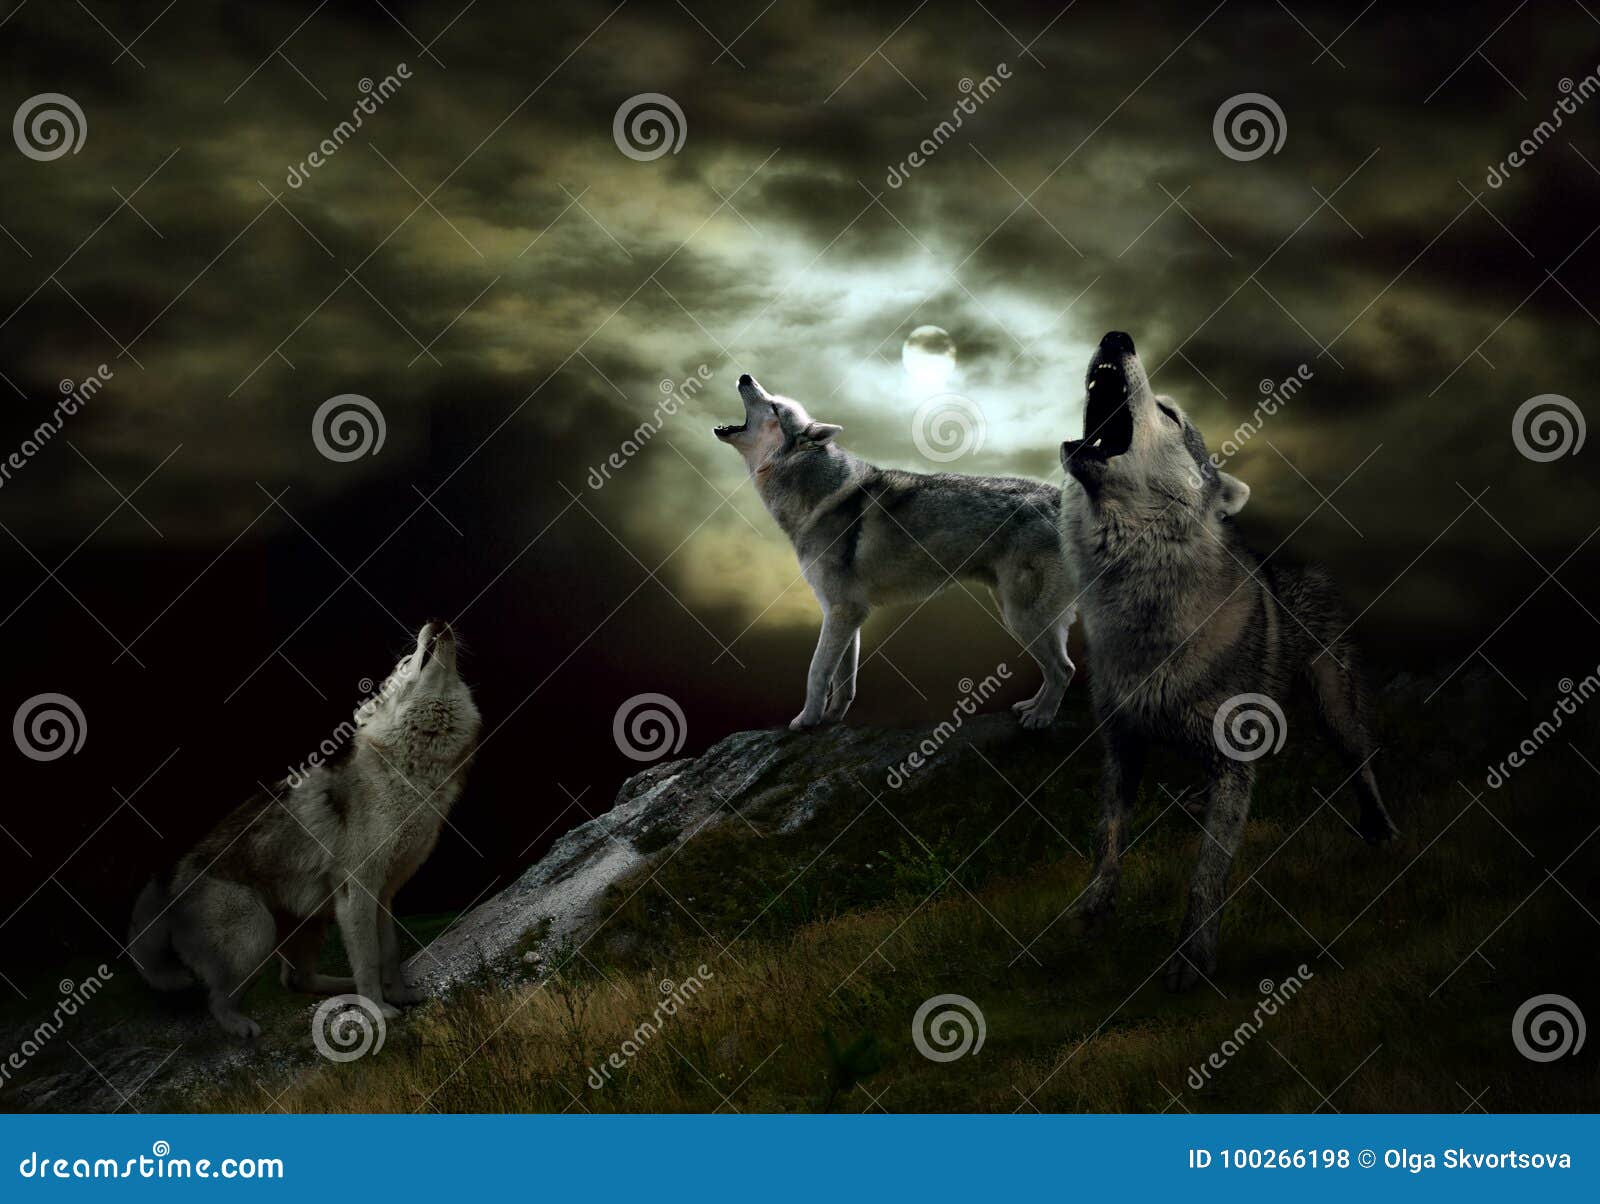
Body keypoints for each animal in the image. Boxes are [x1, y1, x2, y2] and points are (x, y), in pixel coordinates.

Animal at [128, 620, 481, 1036]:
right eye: (405, 661)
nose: (438, 623)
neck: (410, 768)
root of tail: (168, 881)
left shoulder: (384, 894)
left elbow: (390, 954)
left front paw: (400, 995)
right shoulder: (356, 893)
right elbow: (369, 960)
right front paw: (378, 1007)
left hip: (310, 922)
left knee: (295, 980)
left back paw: (341, 987)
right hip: (257, 934)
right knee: (217, 1001)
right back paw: (241, 1026)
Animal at [715, 374, 1077, 730]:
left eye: (775, 407)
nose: (745, 376)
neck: (816, 497)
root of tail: (1058, 498)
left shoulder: (842, 610)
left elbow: (817, 671)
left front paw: (806, 720)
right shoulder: (848, 613)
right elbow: (844, 680)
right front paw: (831, 719)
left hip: (1021, 617)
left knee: (1063, 670)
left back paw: (1041, 717)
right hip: (1019, 614)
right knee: (1061, 667)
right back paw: (1032, 707)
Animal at [1059, 331, 1396, 991]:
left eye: (1169, 414)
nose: (1116, 337)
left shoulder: (1233, 766)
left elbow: (1208, 871)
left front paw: (1192, 961)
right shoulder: (1122, 745)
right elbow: (1107, 837)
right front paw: (1093, 911)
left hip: (1335, 709)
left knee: (1362, 763)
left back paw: (1380, 832)